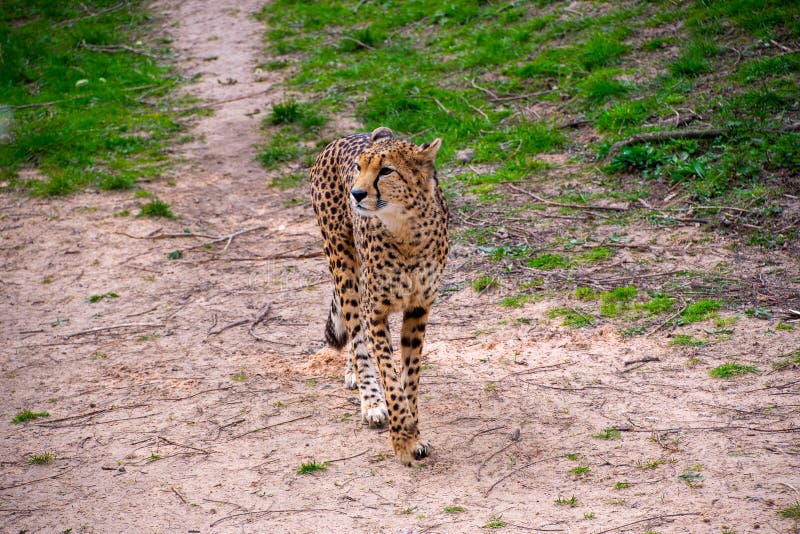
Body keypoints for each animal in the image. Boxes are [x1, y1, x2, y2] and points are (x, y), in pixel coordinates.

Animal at [309, 126, 448, 465]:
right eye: (359, 168)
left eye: (386, 171)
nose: (356, 194)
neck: (407, 230)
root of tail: (343, 137)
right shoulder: (377, 311)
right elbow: (388, 372)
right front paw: (402, 438)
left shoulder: (419, 308)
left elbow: (410, 376)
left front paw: (413, 429)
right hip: (343, 262)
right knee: (355, 329)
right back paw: (369, 398)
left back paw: (353, 374)